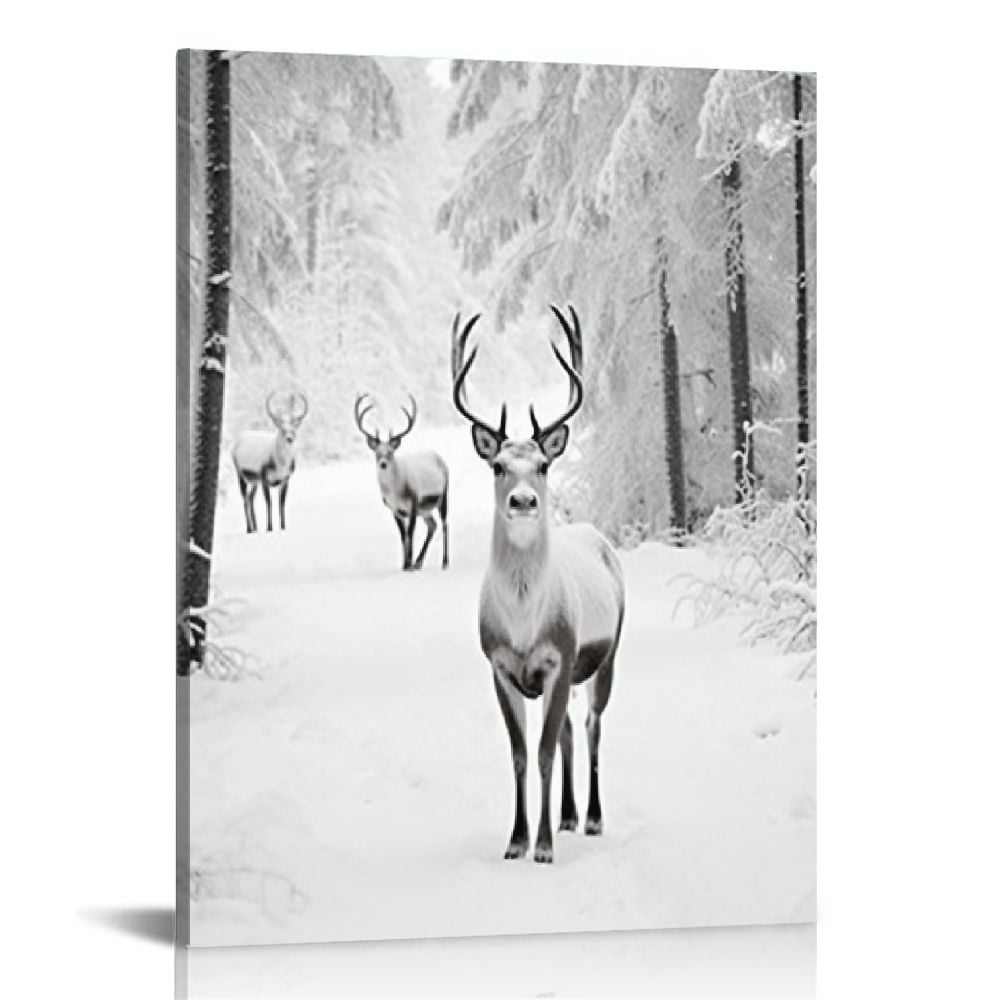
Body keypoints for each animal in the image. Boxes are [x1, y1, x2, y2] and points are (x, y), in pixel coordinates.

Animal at [231, 390, 308, 533]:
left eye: (293, 430)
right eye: (282, 430)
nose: (289, 439)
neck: (280, 465)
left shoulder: (286, 479)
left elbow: (281, 503)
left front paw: (283, 527)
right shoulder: (264, 477)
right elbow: (269, 502)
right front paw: (269, 528)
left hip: (254, 481)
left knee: (250, 498)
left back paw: (255, 527)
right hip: (241, 474)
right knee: (244, 498)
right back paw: (249, 528)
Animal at [353, 392, 450, 571]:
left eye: (390, 452)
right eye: (377, 453)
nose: (383, 464)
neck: (395, 493)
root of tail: (439, 457)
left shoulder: (413, 502)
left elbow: (410, 534)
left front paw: (409, 565)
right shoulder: (395, 510)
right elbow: (403, 536)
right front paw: (405, 564)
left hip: (443, 495)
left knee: (445, 524)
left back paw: (445, 562)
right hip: (424, 509)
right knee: (432, 525)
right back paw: (419, 562)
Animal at [451, 305, 625, 864]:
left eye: (544, 464)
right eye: (498, 465)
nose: (523, 500)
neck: (526, 623)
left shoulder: (560, 656)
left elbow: (545, 751)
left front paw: (544, 847)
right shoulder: (499, 664)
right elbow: (522, 754)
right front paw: (516, 840)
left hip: (606, 656)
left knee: (591, 727)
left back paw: (590, 817)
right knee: (571, 729)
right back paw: (568, 814)